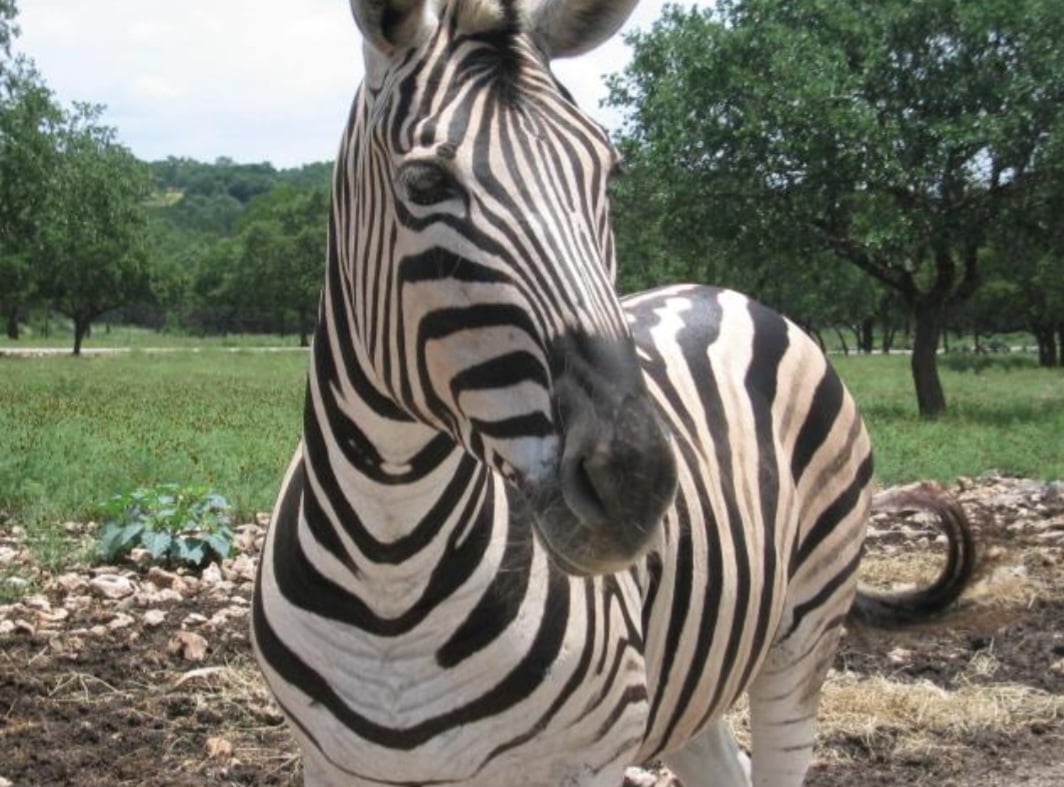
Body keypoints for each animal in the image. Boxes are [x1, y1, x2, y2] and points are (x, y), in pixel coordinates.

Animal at [251, 1, 975, 785]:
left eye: (609, 172)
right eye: (422, 185)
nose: (634, 484)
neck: (391, 569)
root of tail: (722, 291)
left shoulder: (586, 757)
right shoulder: (333, 763)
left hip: (805, 627)